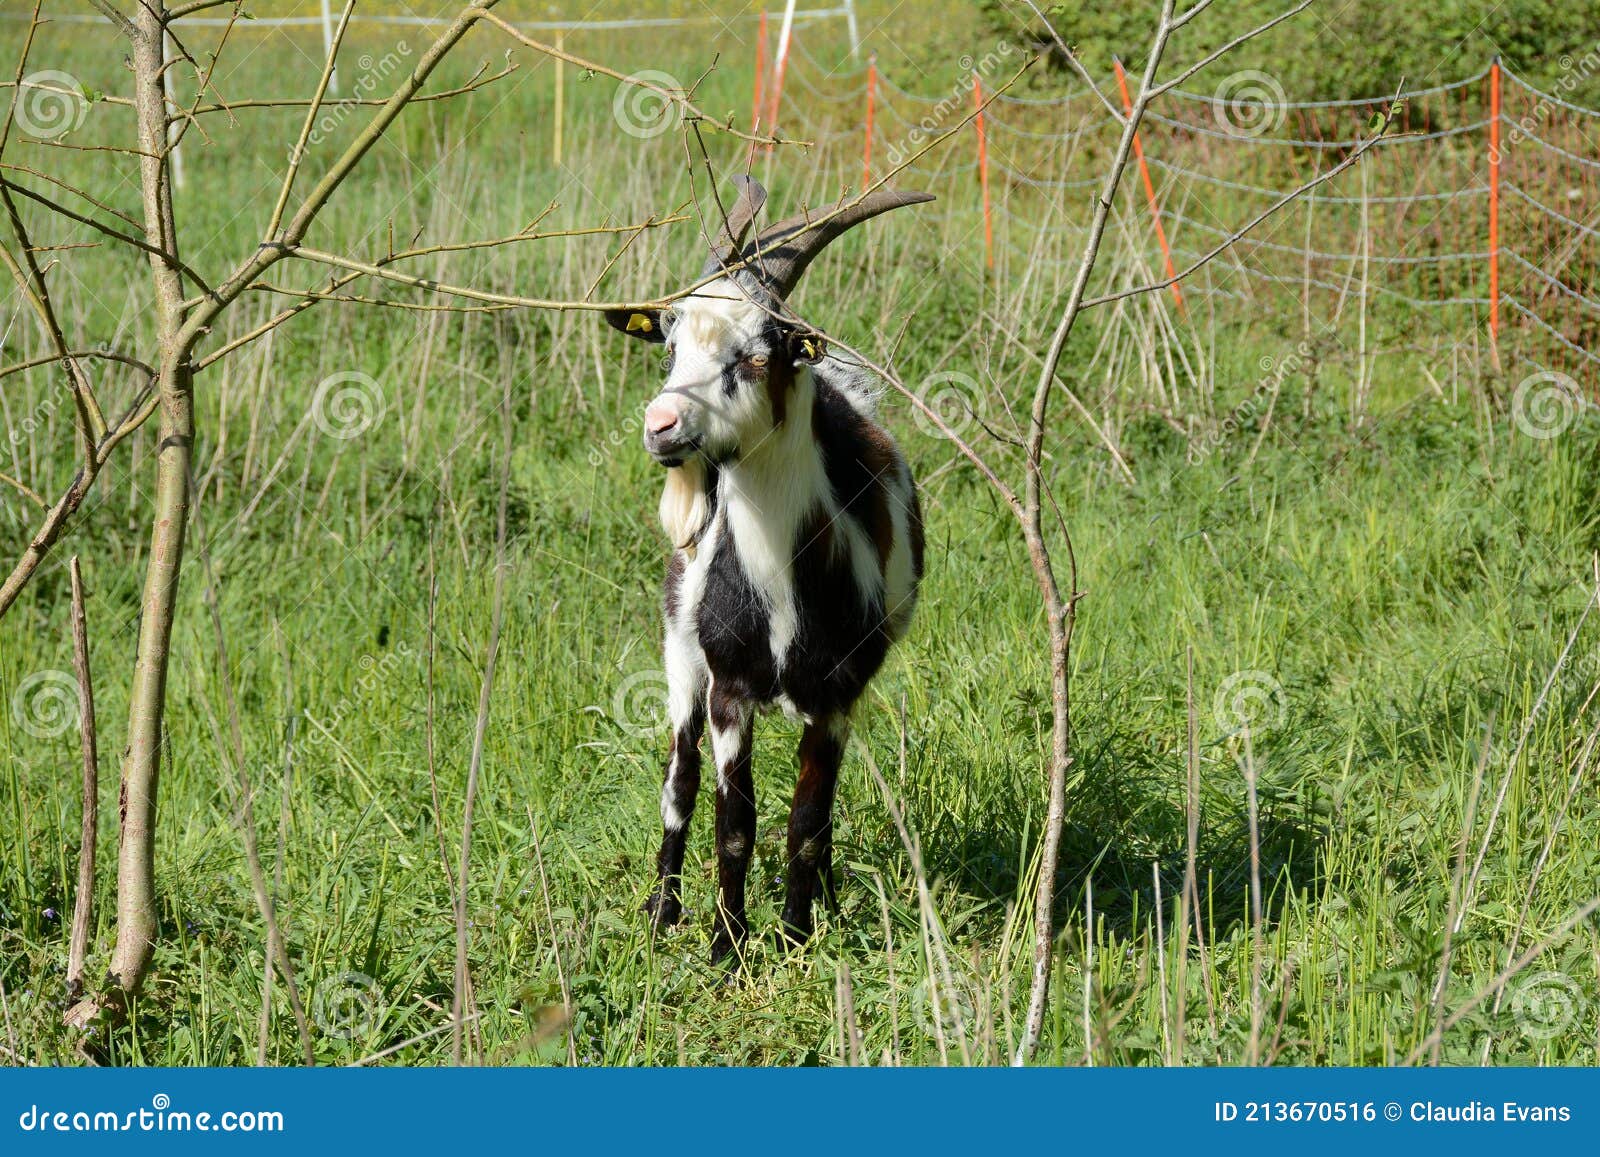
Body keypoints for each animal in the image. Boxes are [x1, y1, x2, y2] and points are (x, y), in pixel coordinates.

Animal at [604, 177, 931, 965]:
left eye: (756, 352)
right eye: (669, 345)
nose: (661, 425)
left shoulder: (839, 696)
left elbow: (808, 821)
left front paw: (798, 934)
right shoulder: (729, 686)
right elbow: (735, 824)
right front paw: (727, 947)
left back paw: (830, 904)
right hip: (680, 647)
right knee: (679, 776)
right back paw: (664, 910)